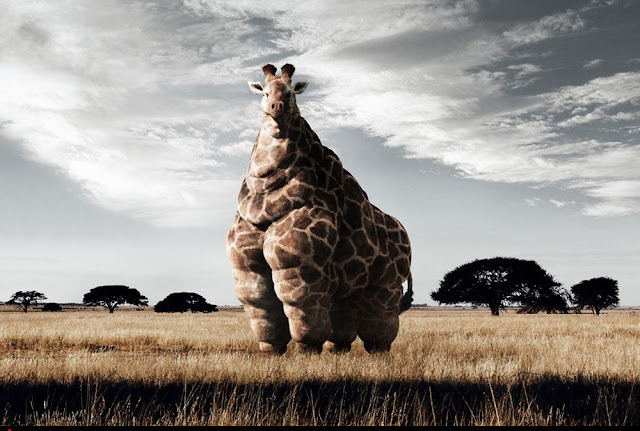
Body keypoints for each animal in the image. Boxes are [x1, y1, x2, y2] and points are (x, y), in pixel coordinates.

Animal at [226, 63, 413, 354]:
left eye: (291, 92)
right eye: (265, 92)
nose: (276, 107)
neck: (265, 197)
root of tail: (406, 236)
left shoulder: (299, 262)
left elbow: (301, 307)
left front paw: (307, 350)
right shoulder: (246, 265)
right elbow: (261, 304)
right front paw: (271, 349)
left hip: (386, 282)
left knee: (380, 321)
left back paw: (377, 350)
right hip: (350, 287)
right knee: (343, 321)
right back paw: (337, 349)